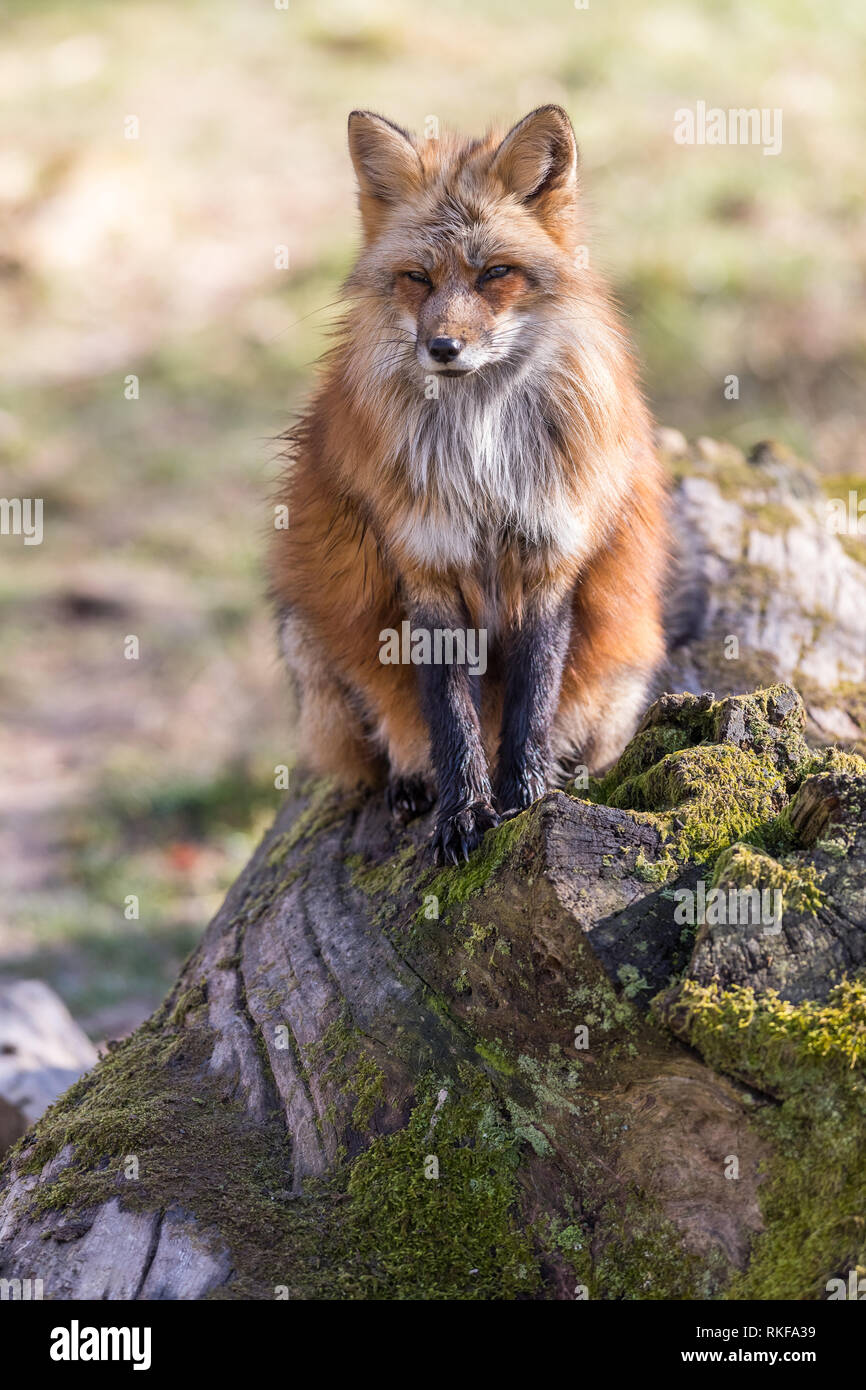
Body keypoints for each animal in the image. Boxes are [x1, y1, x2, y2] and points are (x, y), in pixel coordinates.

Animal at [270, 105, 669, 864]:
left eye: (495, 275)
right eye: (417, 278)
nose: (443, 348)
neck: (480, 462)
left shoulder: (549, 561)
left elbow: (531, 704)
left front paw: (526, 795)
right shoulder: (425, 568)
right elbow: (450, 721)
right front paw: (461, 815)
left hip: (626, 669)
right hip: (310, 642)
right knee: (390, 735)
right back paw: (410, 783)